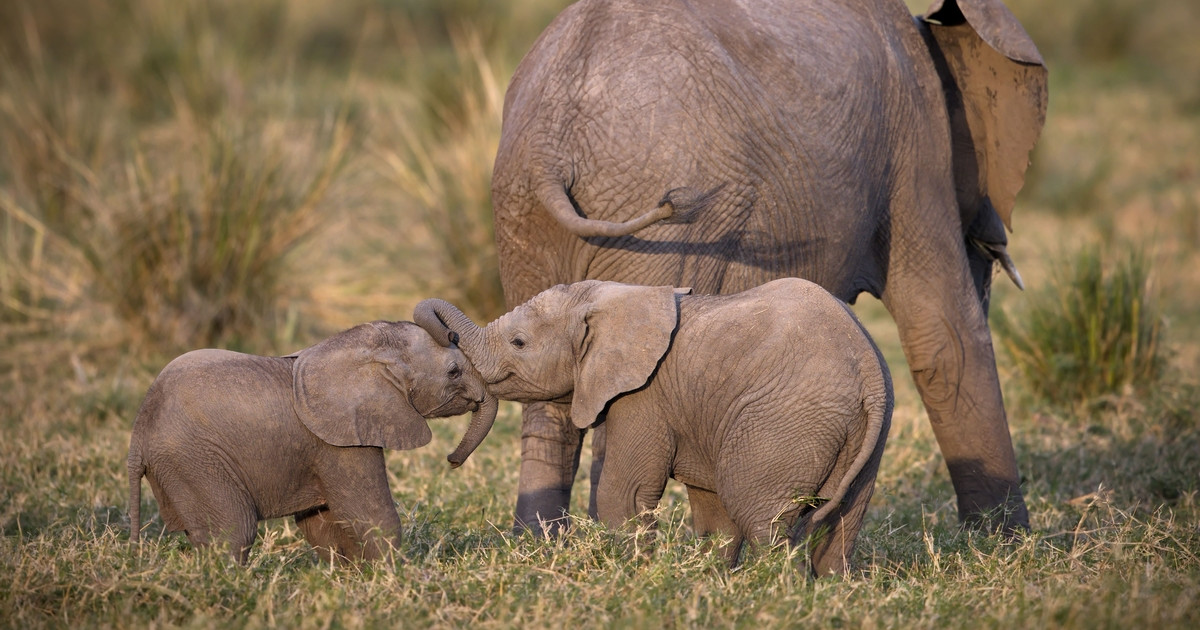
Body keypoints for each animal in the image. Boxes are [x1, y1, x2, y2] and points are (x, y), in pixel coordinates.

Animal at [126, 321, 498, 563]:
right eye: (453, 372)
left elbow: (321, 524)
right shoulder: (339, 440)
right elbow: (370, 514)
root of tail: (138, 435)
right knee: (236, 530)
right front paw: (404, 580)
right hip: (194, 460)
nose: (452, 460)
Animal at [414, 278, 893, 574]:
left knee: (762, 517)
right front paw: (708, 580)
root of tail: (868, 371)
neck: (615, 299)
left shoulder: (643, 397)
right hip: (863, 432)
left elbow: (623, 491)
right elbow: (711, 510)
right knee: (840, 523)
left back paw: (776, 589)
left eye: (519, 342)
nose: (451, 460)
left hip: (784, 422)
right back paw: (829, 588)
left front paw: (630, 575)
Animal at [485, 0, 1046, 534]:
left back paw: (547, 544)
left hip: (525, 208)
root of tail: (550, 143)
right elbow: (944, 340)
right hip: (665, 219)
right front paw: (1002, 544)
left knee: (550, 400)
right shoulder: (917, 149)